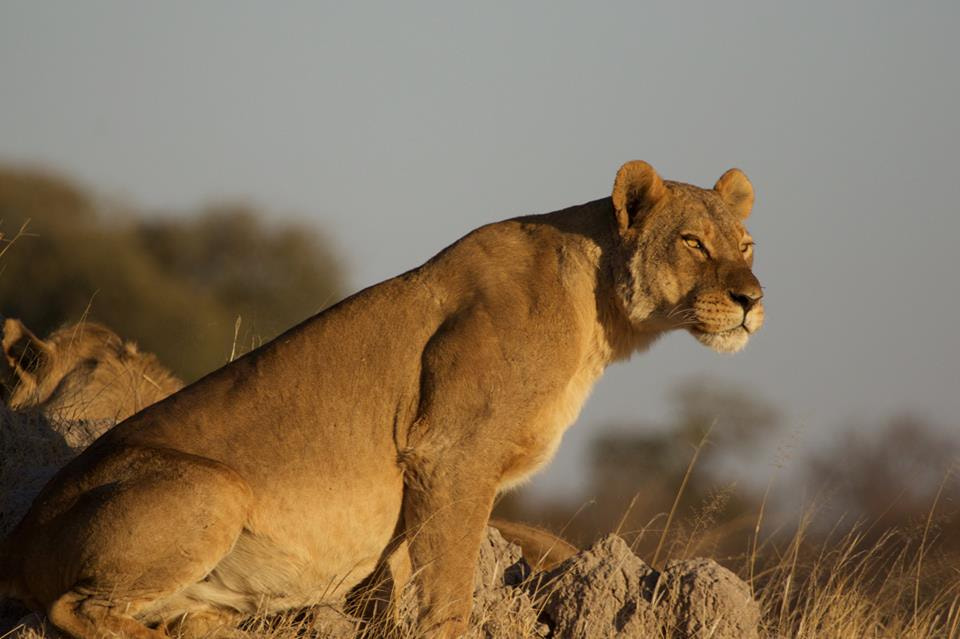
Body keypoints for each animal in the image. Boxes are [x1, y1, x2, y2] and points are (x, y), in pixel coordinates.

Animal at [0, 162, 764, 636]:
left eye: (747, 244)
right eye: (694, 243)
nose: (752, 300)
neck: (601, 313)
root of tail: (18, 533)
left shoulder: (417, 478)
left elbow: (404, 588)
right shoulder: (452, 456)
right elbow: (449, 594)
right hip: (215, 489)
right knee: (70, 606)